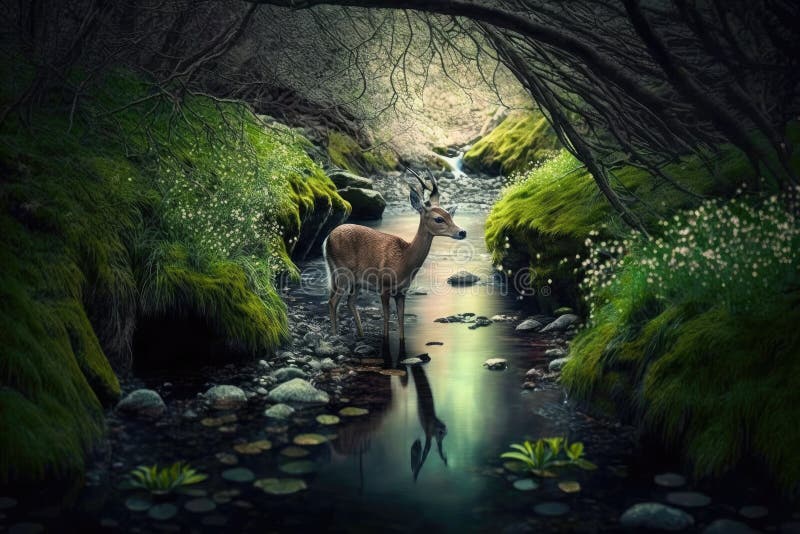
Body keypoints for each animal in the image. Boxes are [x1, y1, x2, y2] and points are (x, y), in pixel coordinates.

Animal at [322, 169, 466, 340]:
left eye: (450, 215)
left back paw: (361, 335)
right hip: (342, 272)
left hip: (354, 280)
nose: (462, 232)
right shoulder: (383, 287)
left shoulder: (402, 292)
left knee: (349, 301)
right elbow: (387, 319)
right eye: (438, 219)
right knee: (333, 301)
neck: (404, 260)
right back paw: (335, 335)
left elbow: (401, 320)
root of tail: (327, 239)